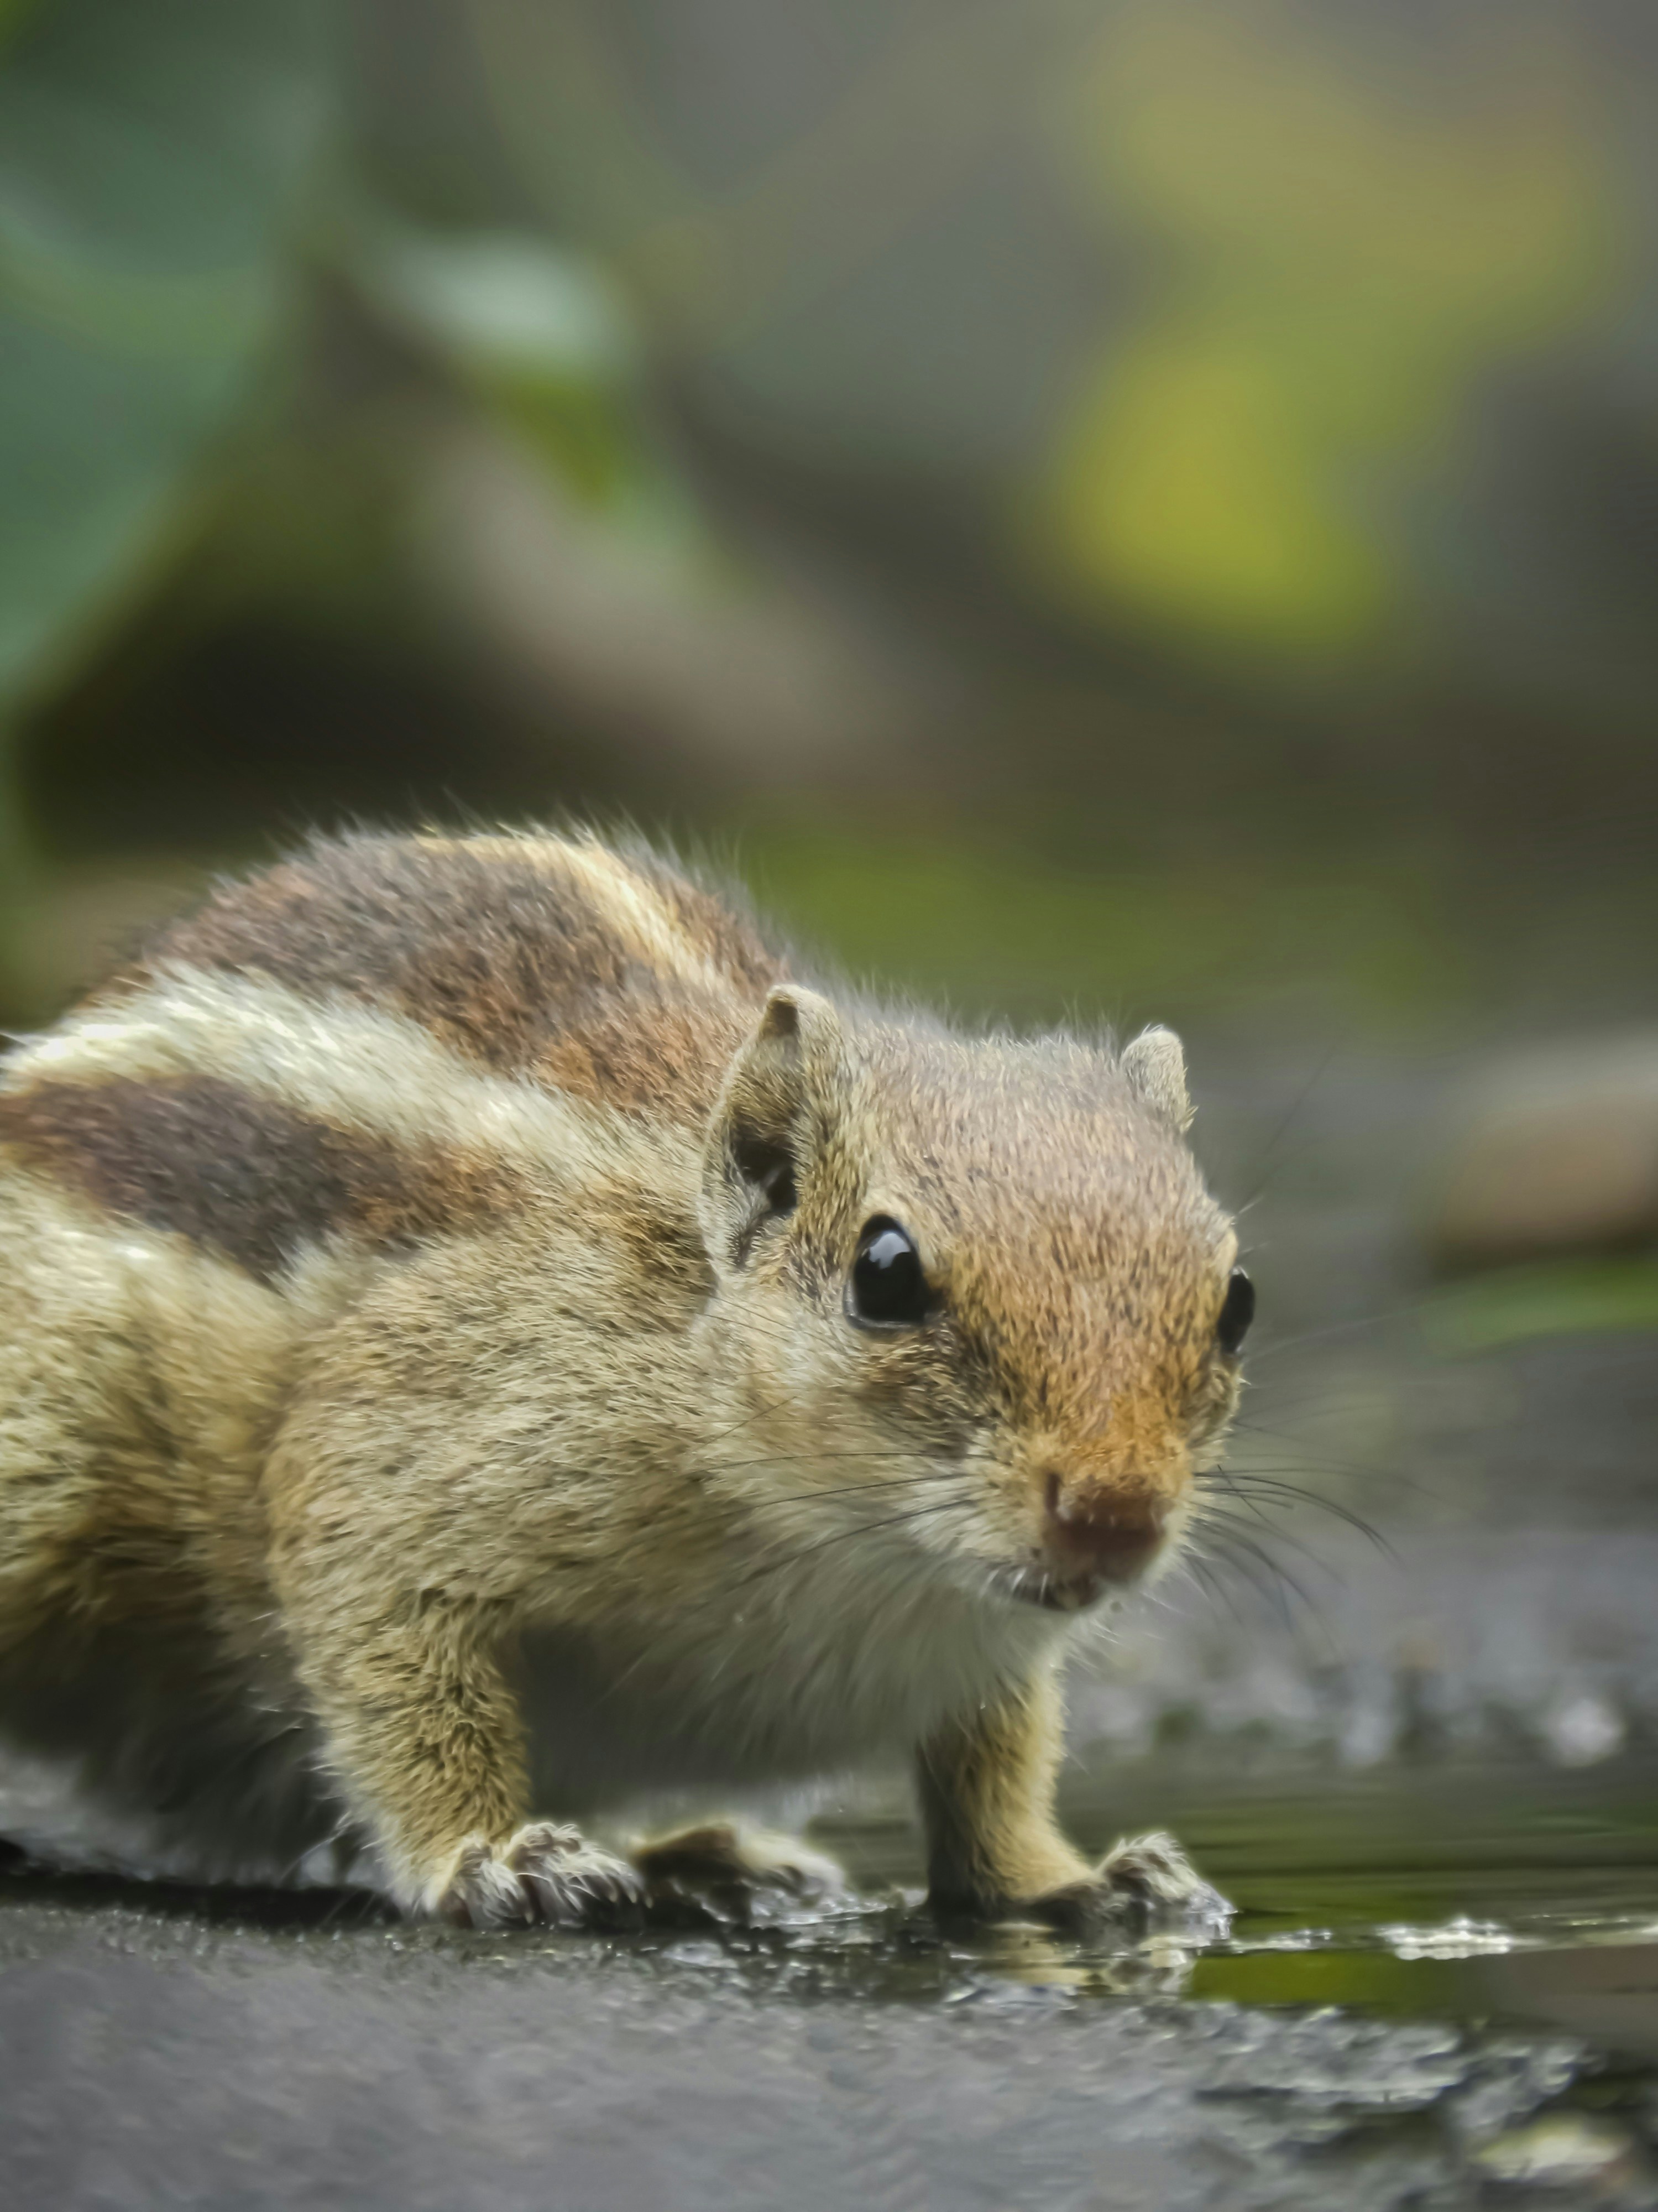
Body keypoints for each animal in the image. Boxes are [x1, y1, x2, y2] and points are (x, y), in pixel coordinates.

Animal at [0, 828, 1252, 1929]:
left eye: (1235, 1299)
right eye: (885, 1274)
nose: (1115, 1513)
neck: (851, 1546)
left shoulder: (984, 1653)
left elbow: (992, 1772)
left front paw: (1068, 1878)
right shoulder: (403, 1448)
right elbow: (400, 1671)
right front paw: (488, 1855)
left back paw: (702, 1854)